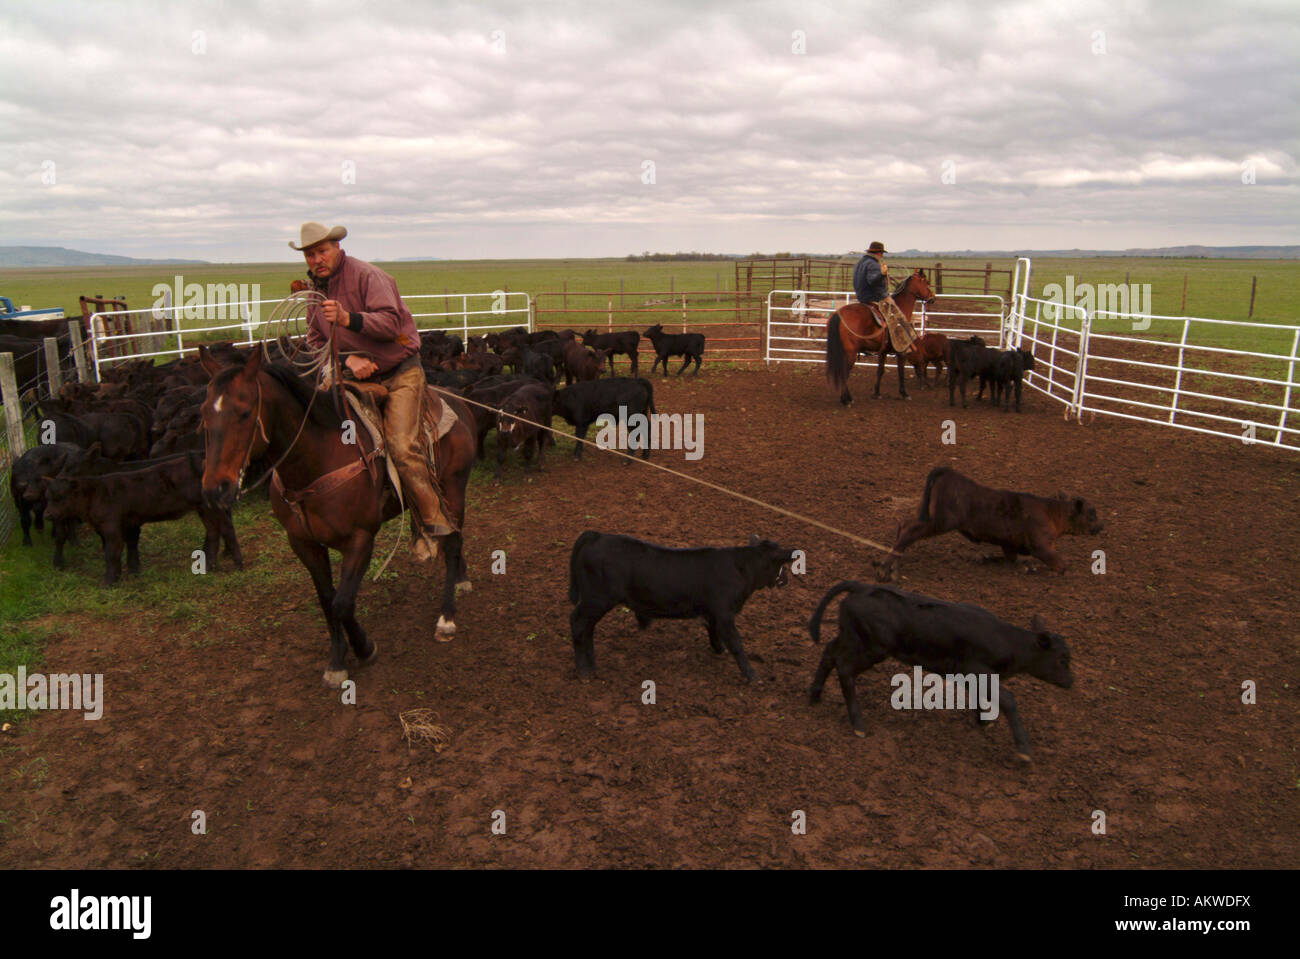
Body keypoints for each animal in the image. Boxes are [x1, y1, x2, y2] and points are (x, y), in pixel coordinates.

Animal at [568, 531, 799, 682]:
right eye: (780, 562)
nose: (785, 579)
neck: (740, 568)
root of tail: (597, 536)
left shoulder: (713, 612)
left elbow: (713, 631)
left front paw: (718, 649)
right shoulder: (725, 613)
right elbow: (736, 643)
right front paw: (752, 675)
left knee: (587, 629)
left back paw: (592, 664)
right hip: (596, 600)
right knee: (578, 623)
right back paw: (583, 670)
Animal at [806, 581, 1073, 761]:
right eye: (1062, 659)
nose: (1071, 681)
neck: (1006, 640)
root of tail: (861, 587)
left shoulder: (969, 674)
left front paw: (983, 720)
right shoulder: (977, 669)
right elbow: (1007, 700)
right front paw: (1024, 750)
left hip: (851, 637)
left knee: (830, 653)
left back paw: (815, 694)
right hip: (872, 648)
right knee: (845, 668)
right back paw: (859, 724)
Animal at [876, 466, 1104, 579]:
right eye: (1092, 513)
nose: (1101, 526)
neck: (1052, 512)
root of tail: (948, 472)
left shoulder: (1009, 545)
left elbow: (1010, 559)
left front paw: (983, 557)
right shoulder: (1041, 546)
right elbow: (1059, 564)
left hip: (926, 516)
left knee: (904, 525)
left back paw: (893, 566)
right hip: (939, 522)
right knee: (908, 531)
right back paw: (885, 569)